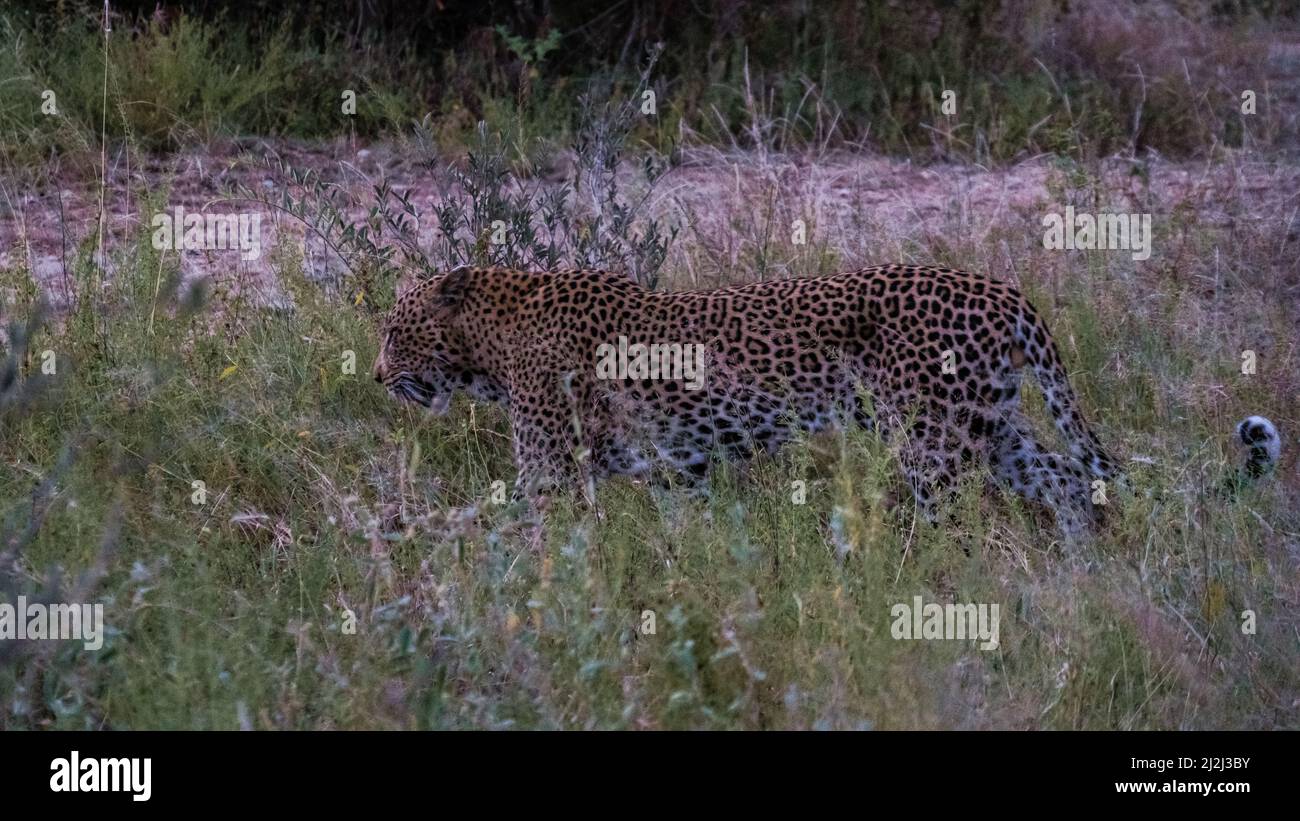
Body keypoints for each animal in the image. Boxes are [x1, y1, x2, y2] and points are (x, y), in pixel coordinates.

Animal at [373, 264, 1119, 537]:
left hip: (934, 440)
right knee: (1064, 476)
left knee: (964, 522)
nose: (376, 376)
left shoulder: (549, 475)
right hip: (989, 425)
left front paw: (398, 535)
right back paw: (1077, 571)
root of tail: (1001, 289)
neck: (489, 346)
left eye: (390, 330)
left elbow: (482, 517)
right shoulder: (680, 470)